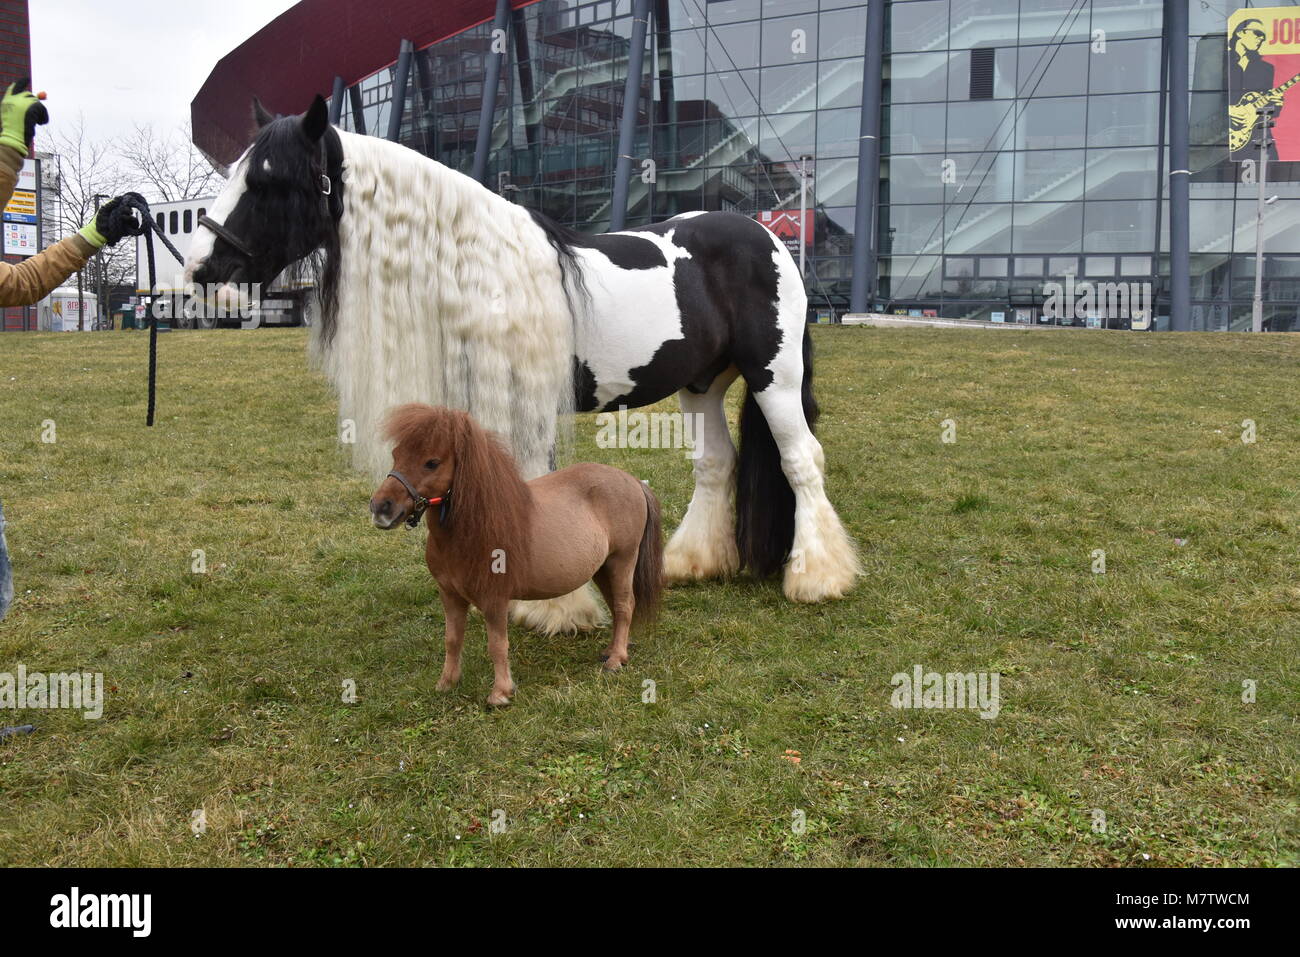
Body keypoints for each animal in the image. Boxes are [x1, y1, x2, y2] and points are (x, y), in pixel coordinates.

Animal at [185, 94, 860, 634]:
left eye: (269, 180)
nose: (200, 270)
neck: (476, 267)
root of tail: (767, 237)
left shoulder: (523, 399)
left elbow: (534, 487)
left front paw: (556, 610)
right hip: (700, 384)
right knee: (716, 464)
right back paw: (693, 563)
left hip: (775, 377)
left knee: (801, 460)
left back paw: (817, 577)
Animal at [371, 404, 663, 707]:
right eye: (396, 454)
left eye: (432, 462)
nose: (380, 508)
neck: (471, 530)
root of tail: (633, 481)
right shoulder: (450, 595)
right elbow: (452, 639)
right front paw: (446, 683)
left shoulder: (494, 600)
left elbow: (497, 645)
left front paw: (500, 693)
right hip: (603, 568)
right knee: (617, 607)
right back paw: (614, 650)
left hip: (623, 560)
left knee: (624, 605)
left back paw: (616, 659)